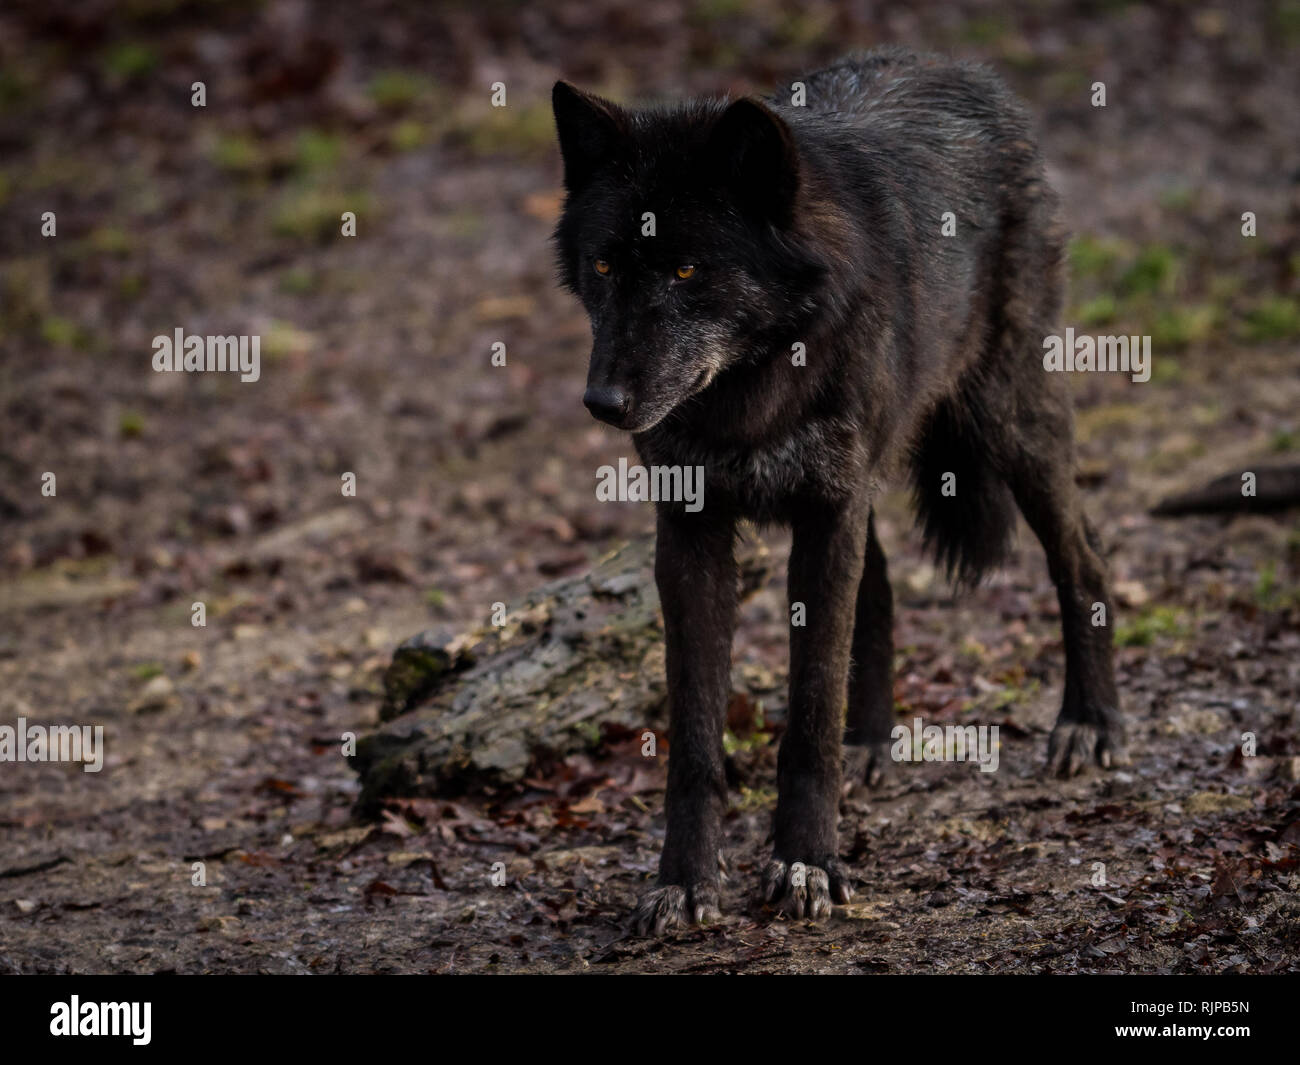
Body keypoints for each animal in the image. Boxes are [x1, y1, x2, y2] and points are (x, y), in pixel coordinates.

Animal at [551, 47, 1125, 935]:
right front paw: (684, 881)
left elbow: (811, 708)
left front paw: (806, 864)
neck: (747, 390)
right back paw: (873, 743)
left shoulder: (825, 511)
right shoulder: (696, 528)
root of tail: (966, 67)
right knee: (881, 587)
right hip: (868, 480)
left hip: (1007, 421)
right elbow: (694, 736)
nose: (603, 402)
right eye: (606, 264)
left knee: (1085, 557)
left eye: (686, 269)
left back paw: (1088, 723)